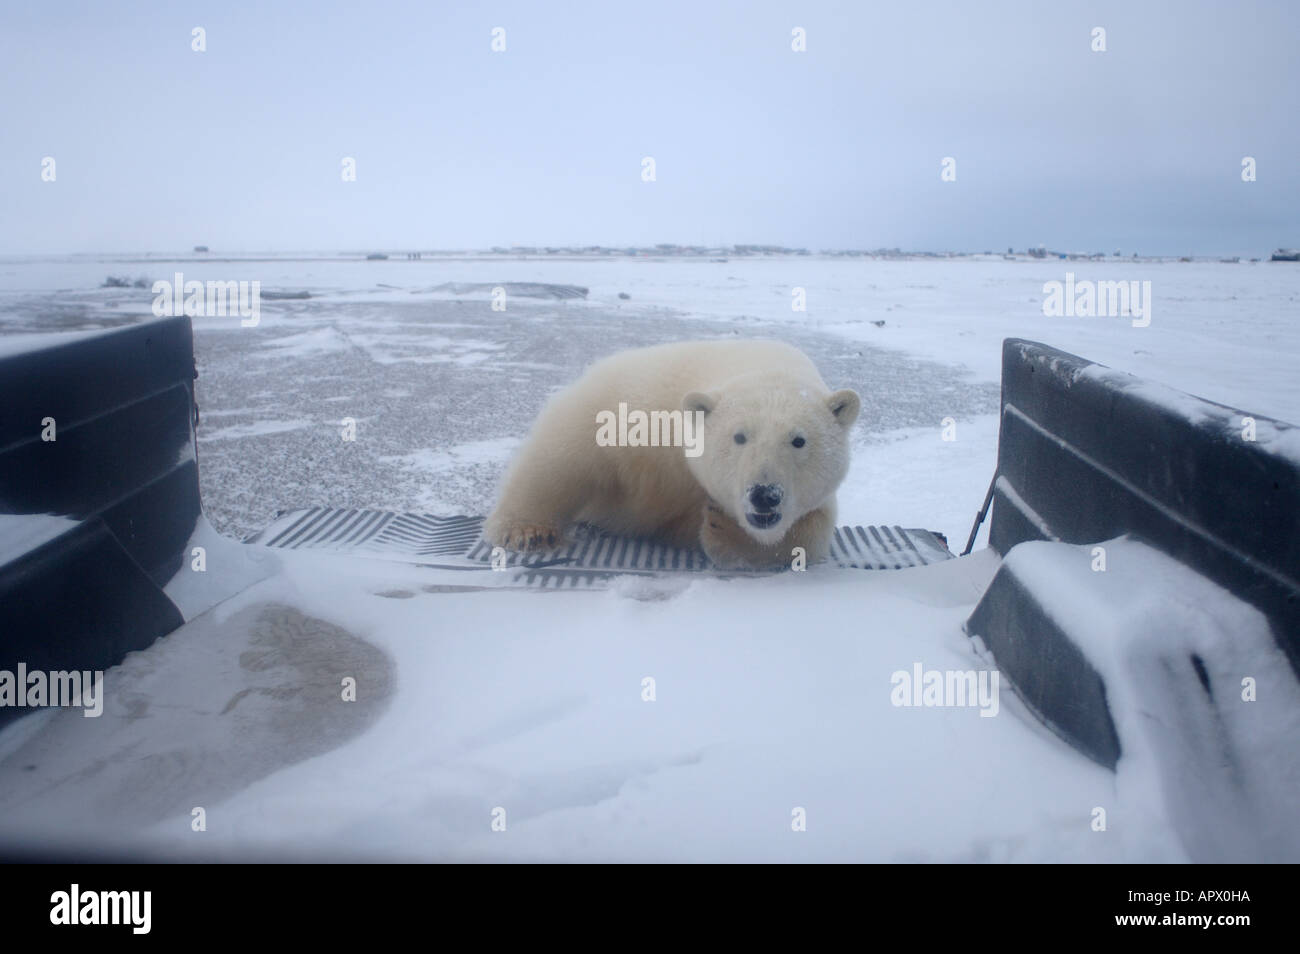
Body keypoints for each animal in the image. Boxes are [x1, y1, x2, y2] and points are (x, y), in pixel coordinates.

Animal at [483, 339, 861, 569]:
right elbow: (567, 452)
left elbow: (811, 534)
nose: (764, 495)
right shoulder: (634, 410)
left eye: (798, 441)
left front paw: (725, 530)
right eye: (739, 436)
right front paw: (527, 531)